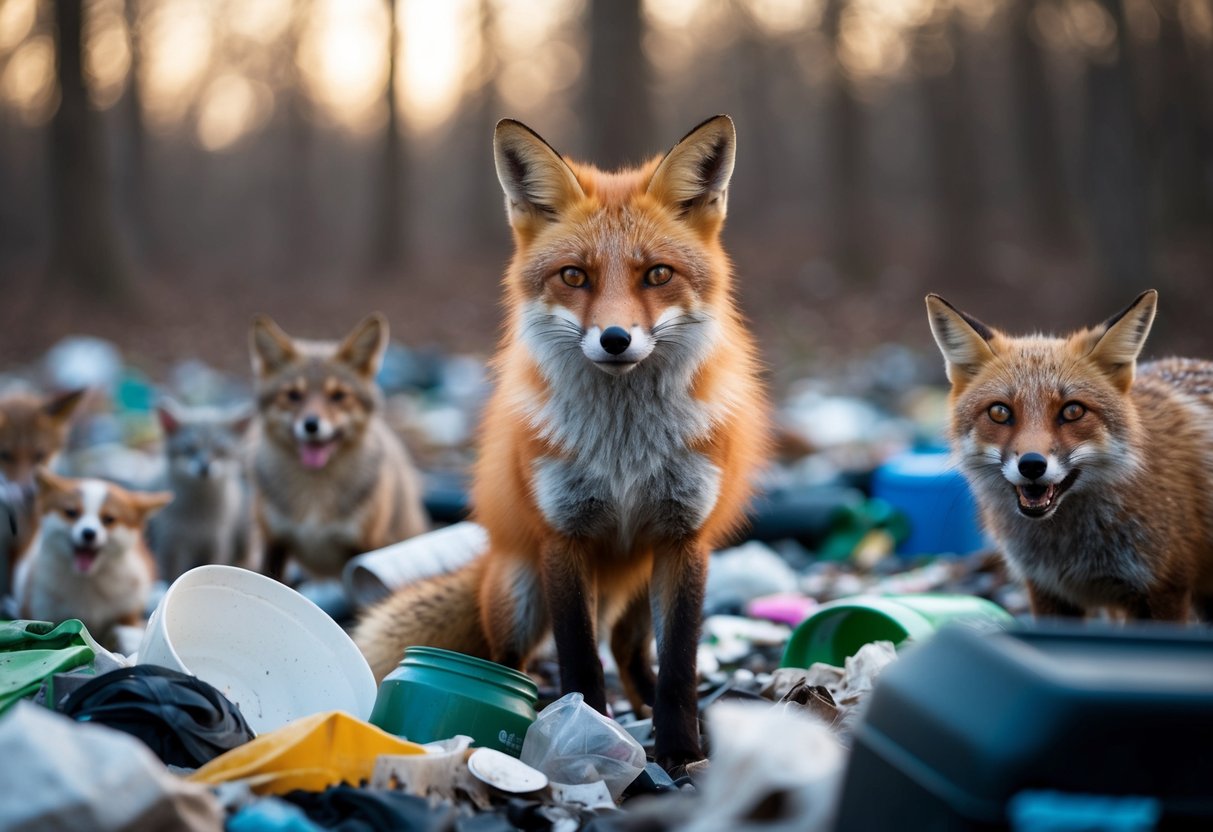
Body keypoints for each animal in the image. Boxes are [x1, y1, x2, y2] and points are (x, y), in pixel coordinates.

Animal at [16, 469, 171, 641]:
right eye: (71, 512)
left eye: (109, 519)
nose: (88, 533)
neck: (88, 582)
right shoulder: (42, 610)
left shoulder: (126, 612)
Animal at [148, 399, 253, 582]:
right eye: (189, 449)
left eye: (220, 451)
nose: (204, 467)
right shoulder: (171, 541)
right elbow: (171, 574)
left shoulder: (216, 541)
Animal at [249, 313, 429, 582]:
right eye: (293, 395)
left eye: (338, 396)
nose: (311, 425)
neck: (314, 501)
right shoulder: (274, 541)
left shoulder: (364, 549)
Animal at [355, 115, 771, 769]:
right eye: (574, 275)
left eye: (658, 274)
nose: (616, 338)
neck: (625, 450)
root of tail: (492, 551)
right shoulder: (564, 537)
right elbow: (579, 660)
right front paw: (587, 735)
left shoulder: (685, 538)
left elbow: (679, 666)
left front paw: (680, 752)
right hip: (521, 594)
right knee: (512, 663)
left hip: (640, 587)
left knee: (629, 651)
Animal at [927, 289, 1213, 621]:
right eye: (1000, 412)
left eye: (1073, 411)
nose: (1032, 465)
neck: (1069, 550)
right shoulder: (1048, 591)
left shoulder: (1162, 590)